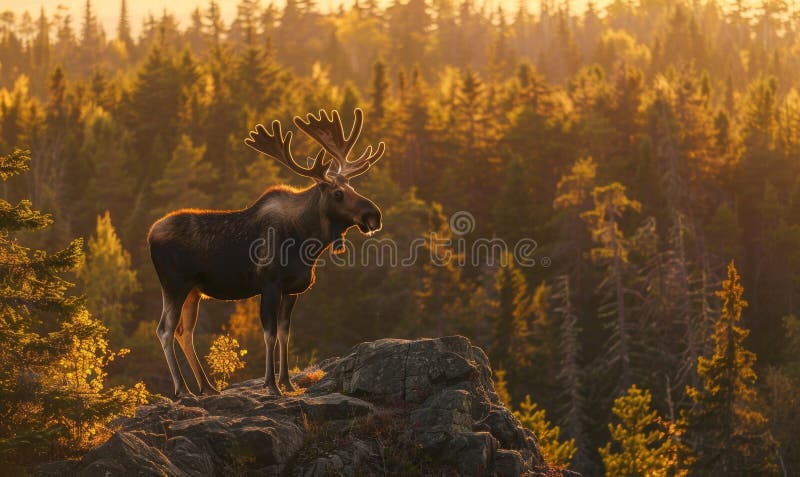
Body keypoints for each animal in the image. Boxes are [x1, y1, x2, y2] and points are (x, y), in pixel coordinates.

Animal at [147, 108, 385, 398]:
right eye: (339, 193)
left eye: (352, 187)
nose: (374, 215)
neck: (307, 241)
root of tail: (150, 234)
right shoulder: (270, 284)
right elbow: (269, 334)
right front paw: (271, 384)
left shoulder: (292, 290)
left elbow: (284, 333)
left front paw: (287, 382)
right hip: (174, 285)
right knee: (165, 329)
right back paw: (183, 389)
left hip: (194, 290)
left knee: (185, 332)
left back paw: (207, 387)